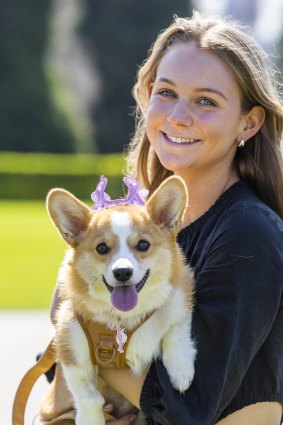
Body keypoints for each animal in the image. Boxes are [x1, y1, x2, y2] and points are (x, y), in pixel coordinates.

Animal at [47, 176, 197, 424]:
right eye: (101, 248)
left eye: (143, 245)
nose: (123, 273)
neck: (123, 319)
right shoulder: (70, 347)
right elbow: (89, 398)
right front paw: (91, 420)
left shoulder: (179, 302)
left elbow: (175, 332)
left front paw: (181, 371)